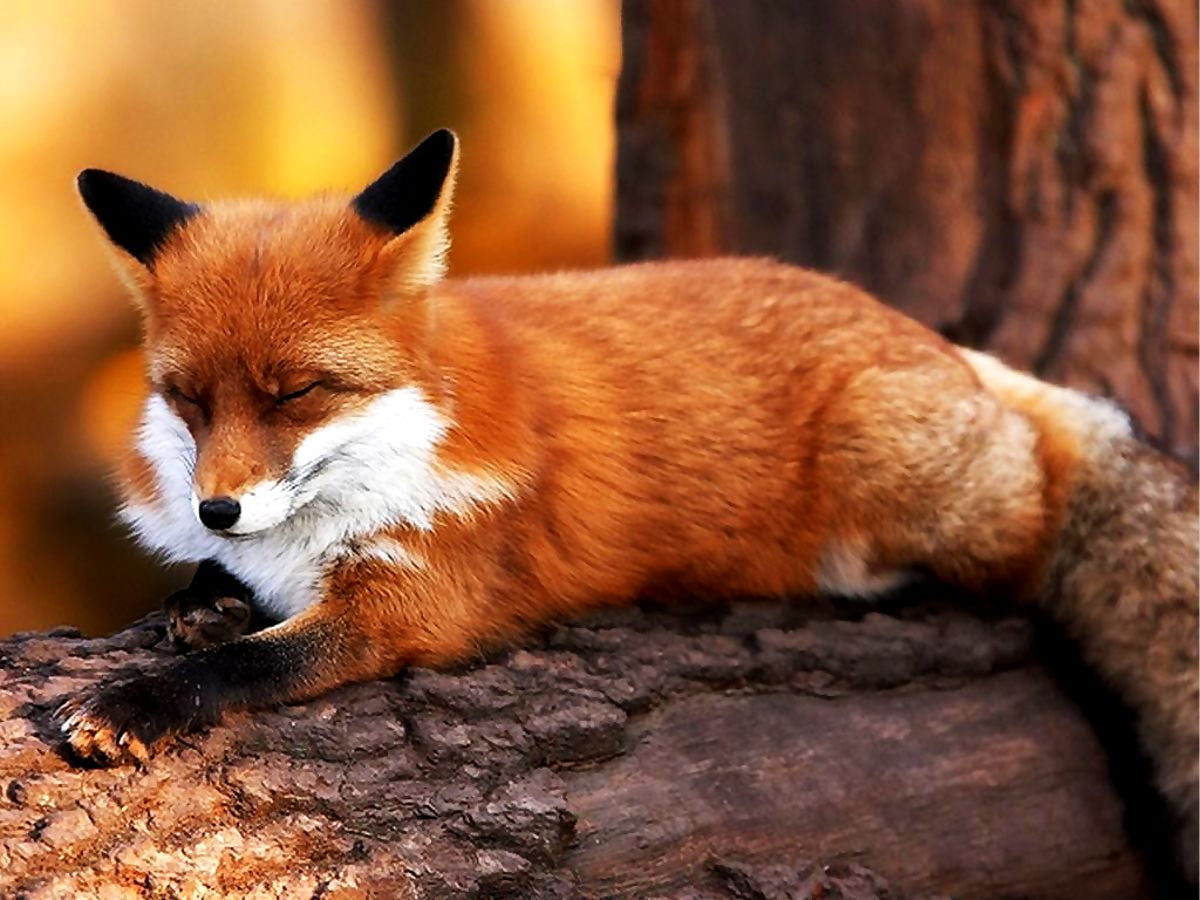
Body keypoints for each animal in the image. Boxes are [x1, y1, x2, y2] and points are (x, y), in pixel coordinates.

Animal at [60, 130, 1197, 876]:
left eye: (295, 393)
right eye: (188, 400)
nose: (217, 511)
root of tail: (937, 342)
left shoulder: (411, 607)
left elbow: (249, 664)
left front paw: (137, 701)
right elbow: (217, 604)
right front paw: (203, 593)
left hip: (897, 464)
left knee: (1035, 526)